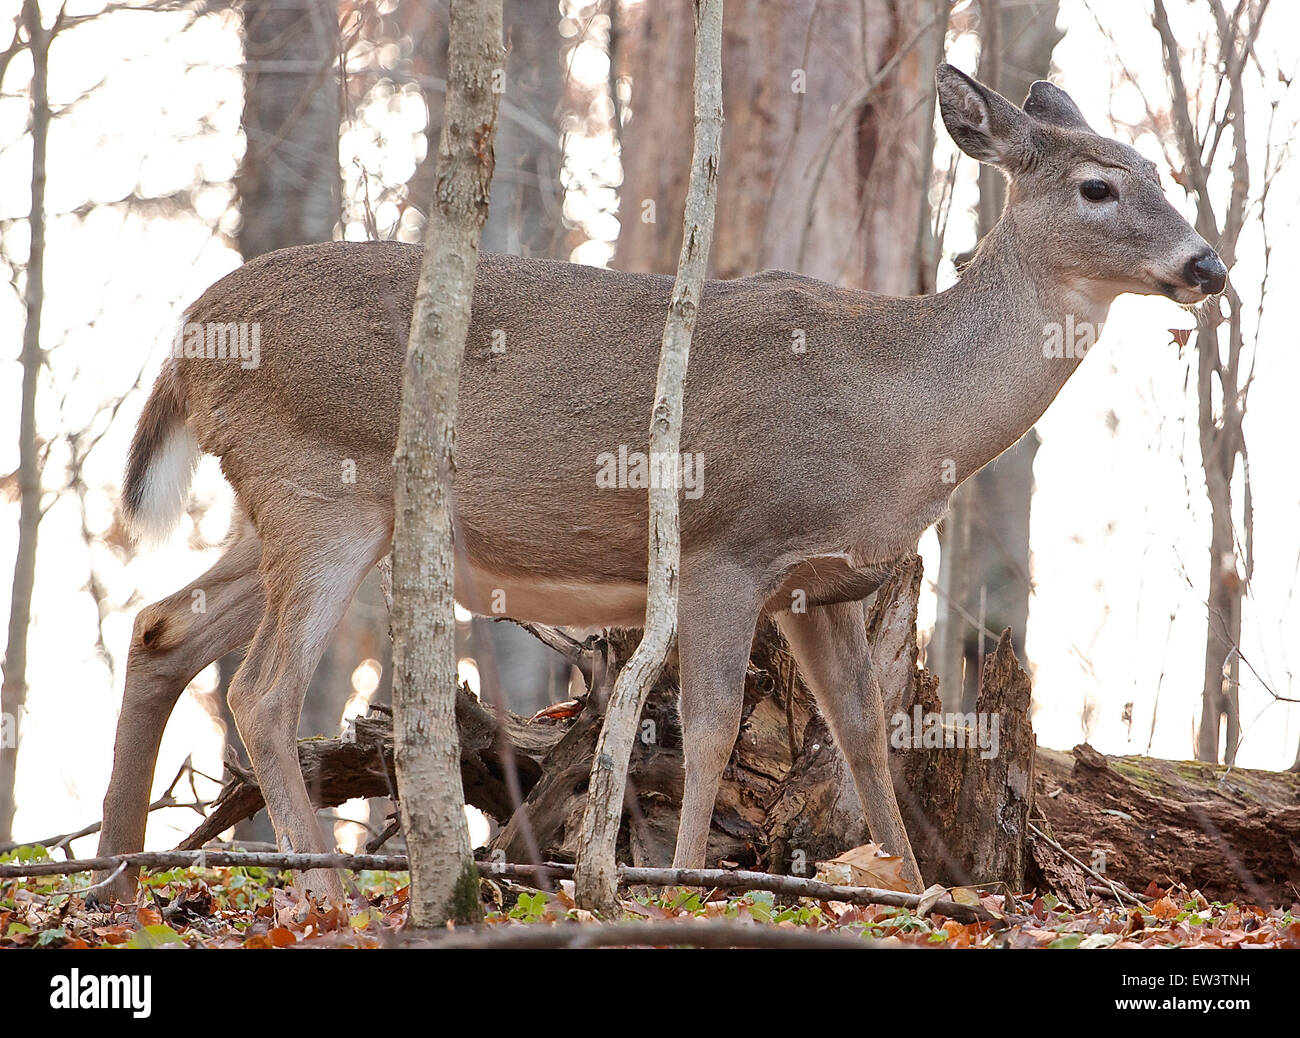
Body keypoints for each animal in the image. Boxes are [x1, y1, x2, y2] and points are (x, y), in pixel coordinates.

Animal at [92, 64, 1226, 905]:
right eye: (1098, 187)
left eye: (1159, 171)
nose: (1207, 265)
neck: (901, 410)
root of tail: (190, 338)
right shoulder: (728, 543)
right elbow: (713, 722)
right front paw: (680, 880)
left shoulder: (820, 582)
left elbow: (866, 736)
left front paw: (906, 888)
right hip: (318, 488)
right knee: (260, 689)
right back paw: (321, 891)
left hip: (282, 504)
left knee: (159, 629)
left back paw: (114, 879)